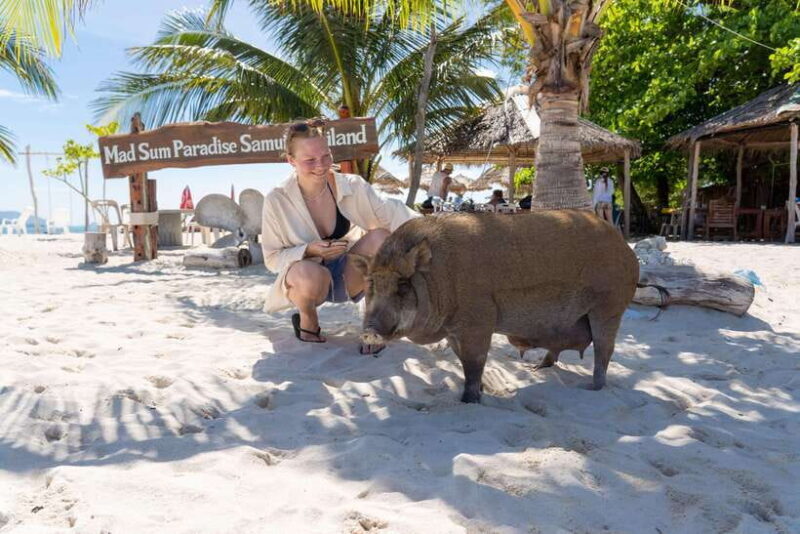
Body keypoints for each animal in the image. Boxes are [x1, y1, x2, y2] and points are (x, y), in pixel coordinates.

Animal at [350, 210, 639, 403]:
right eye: (371, 284)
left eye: (402, 285)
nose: (369, 330)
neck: (441, 275)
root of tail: (627, 250)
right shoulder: (455, 330)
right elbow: (462, 361)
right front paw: (479, 392)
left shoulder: (479, 320)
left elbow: (474, 362)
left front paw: (469, 400)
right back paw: (536, 369)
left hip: (610, 306)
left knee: (604, 350)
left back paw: (592, 388)